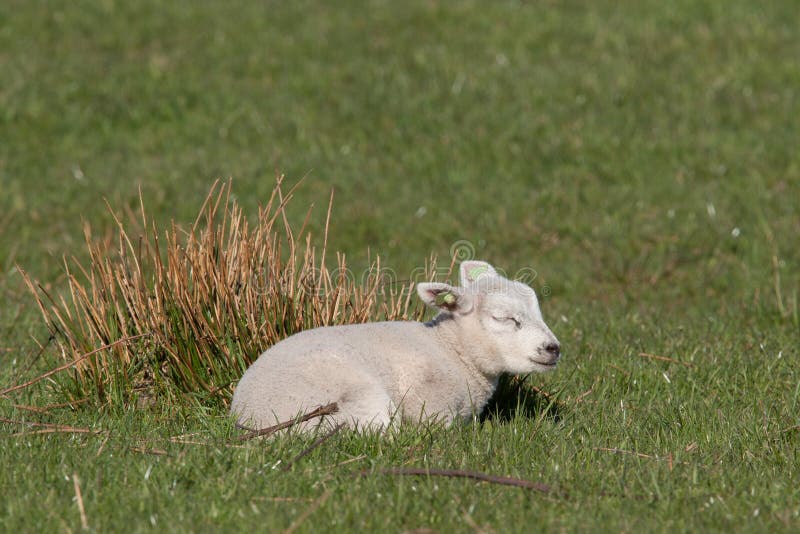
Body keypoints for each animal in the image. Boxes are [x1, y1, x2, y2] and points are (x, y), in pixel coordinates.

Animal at [230, 260, 561, 431]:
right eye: (503, 318)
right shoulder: (431, 408)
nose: (553, 348)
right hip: (360, 397)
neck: (452, 350)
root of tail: (252, 422)